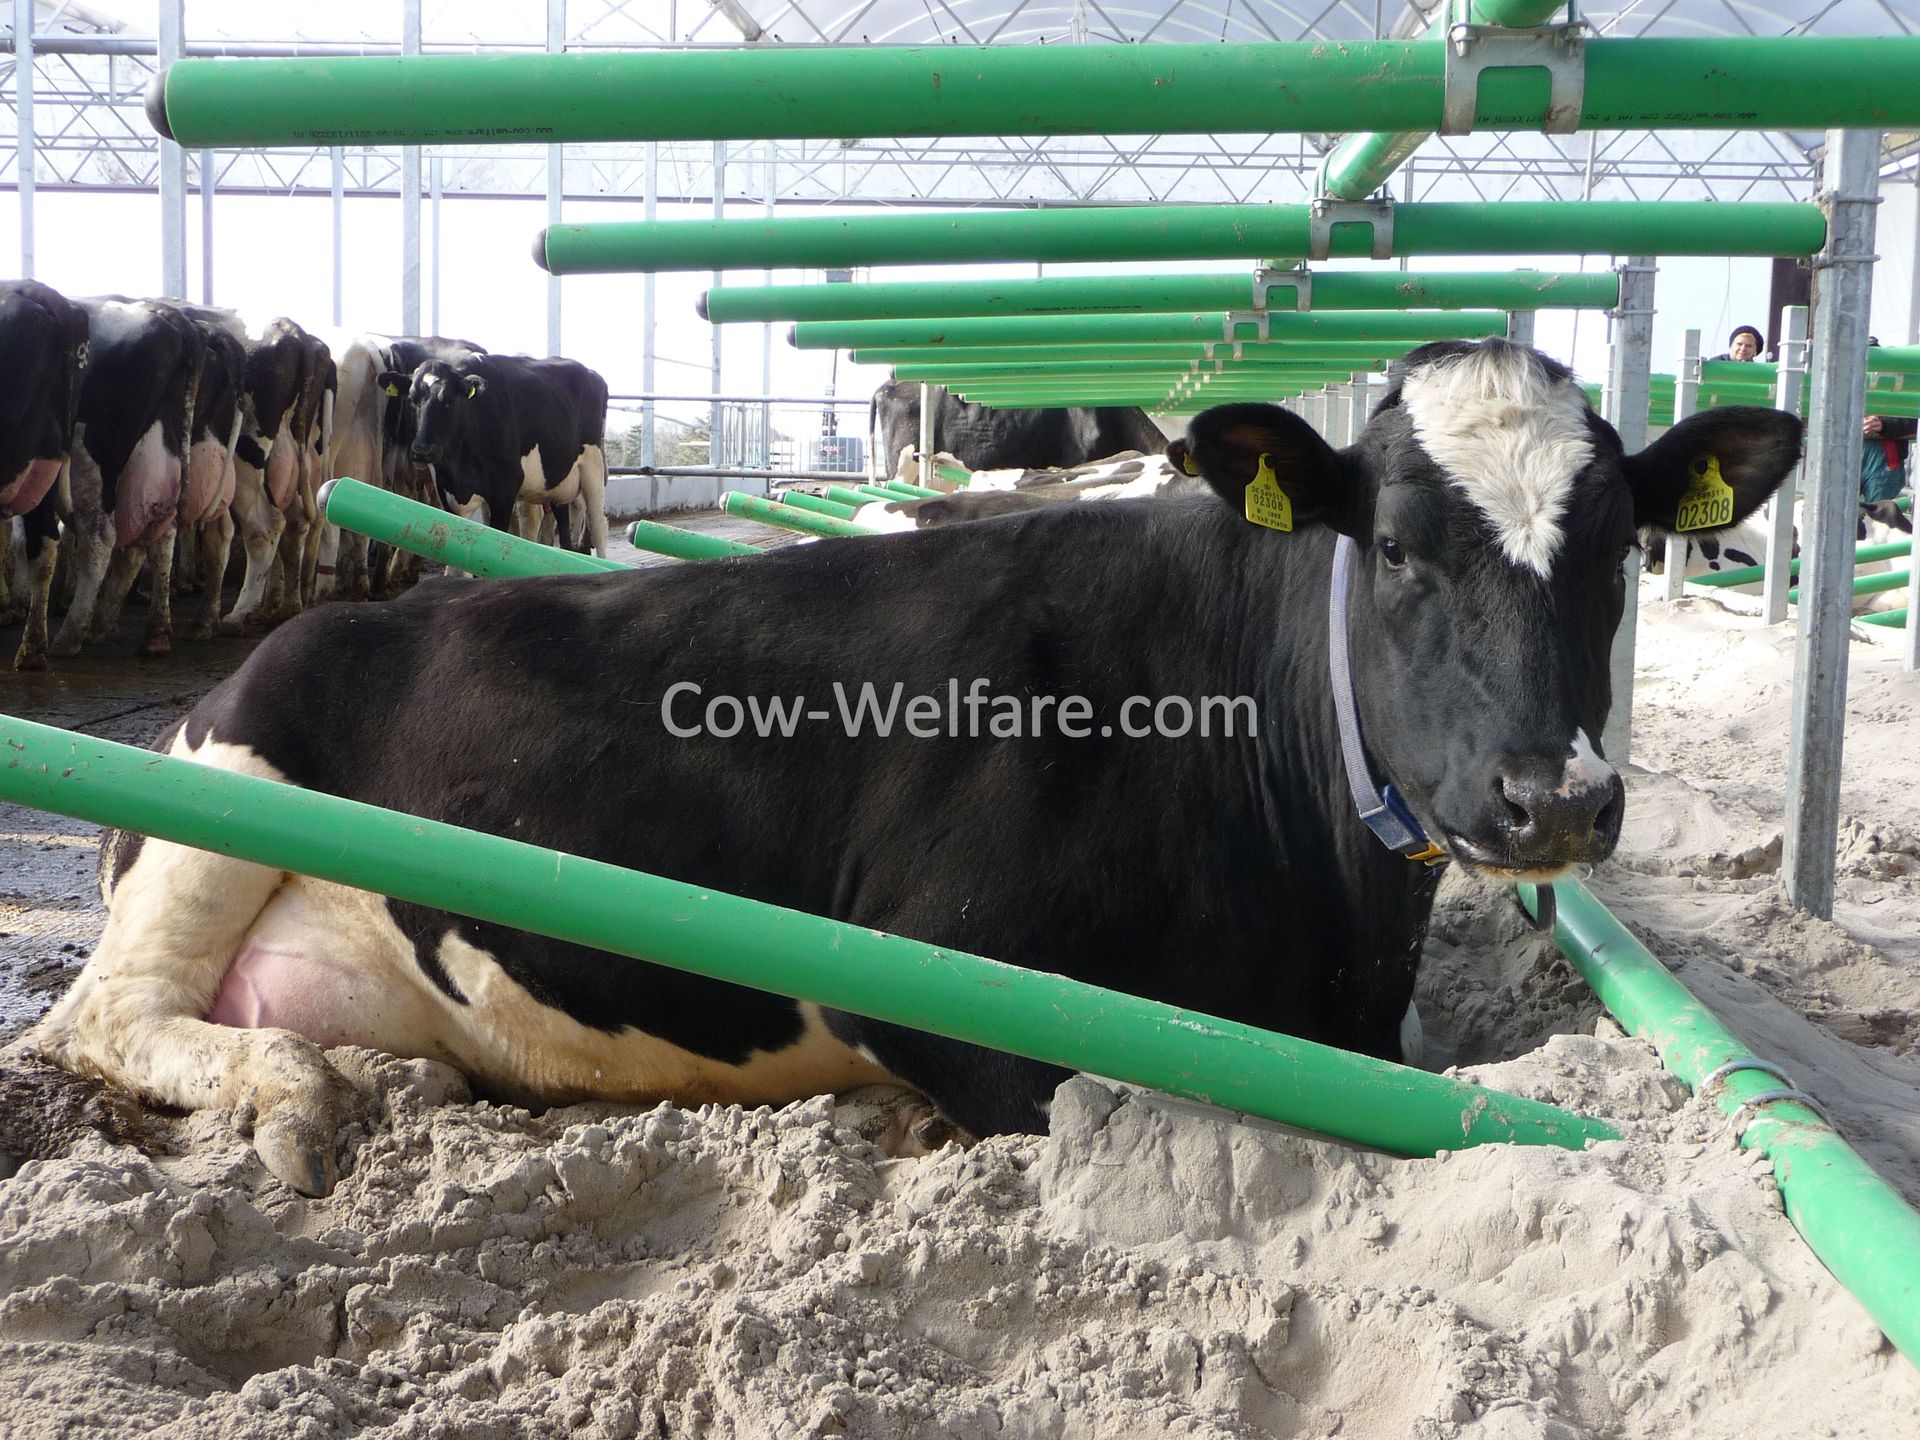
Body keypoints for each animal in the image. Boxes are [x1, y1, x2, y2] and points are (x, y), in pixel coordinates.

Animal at [50, 297, 203, 659]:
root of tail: (167, 316)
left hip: (93, 454)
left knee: (100, 537)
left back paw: (70, 636)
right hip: (158, 446)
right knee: (158, 531)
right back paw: (151, 634)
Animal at [378, 353, 609, 557]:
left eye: (449, 401)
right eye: (412, 399)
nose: (421, 450)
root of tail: (591, 373)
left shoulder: (504, 491)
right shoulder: (445, 491)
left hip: (594, 468)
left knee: (599, 526)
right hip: (557, 482)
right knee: (563, 525)